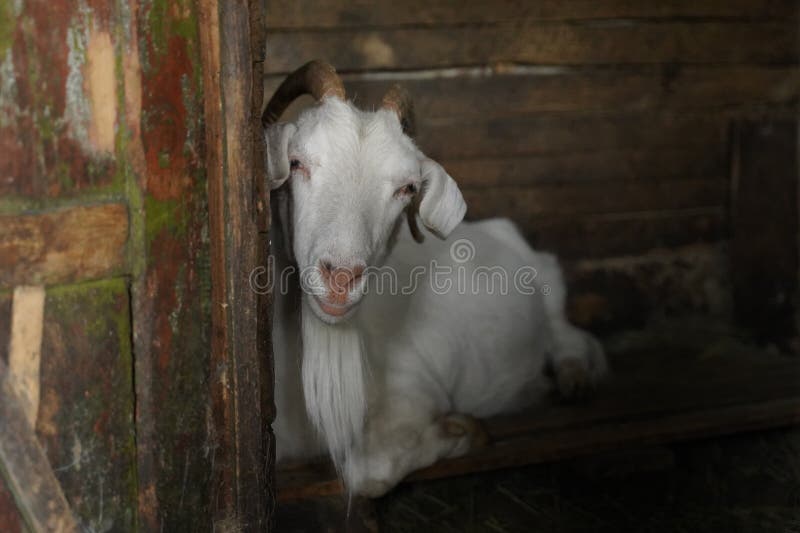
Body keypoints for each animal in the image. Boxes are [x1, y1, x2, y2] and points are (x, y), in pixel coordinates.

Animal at [264, 61, 607, 497]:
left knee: (573, 338)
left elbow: (367, 472)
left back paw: (574, 378)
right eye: (296, 162)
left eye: (407, 188)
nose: (341, 277)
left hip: (551, 293)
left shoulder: (412, 389)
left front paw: (466, 430)